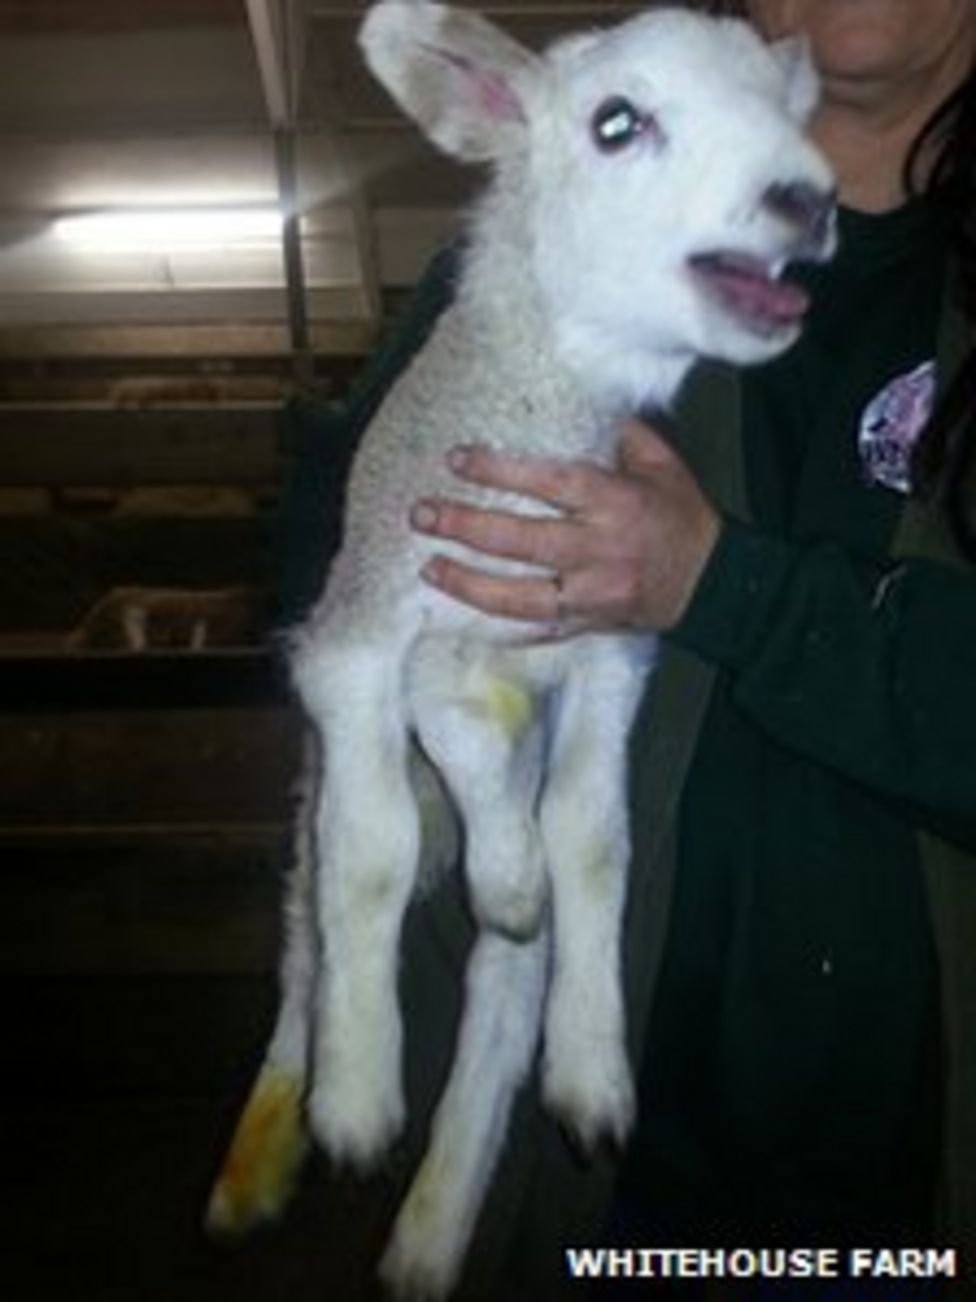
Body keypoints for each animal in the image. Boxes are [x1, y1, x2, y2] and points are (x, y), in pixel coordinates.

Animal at [206, 1, 836, 1296]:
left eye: (779, 104)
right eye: (616, 123)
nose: (807, 200)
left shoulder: (600, 652)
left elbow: (586, 840)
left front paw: (588, 1060)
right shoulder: (357, 644)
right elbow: (374, 851)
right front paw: (356, 1101)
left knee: (501, 993)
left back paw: (432, 1229)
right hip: (305, 796)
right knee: (303, 939)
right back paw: (268, 1147)